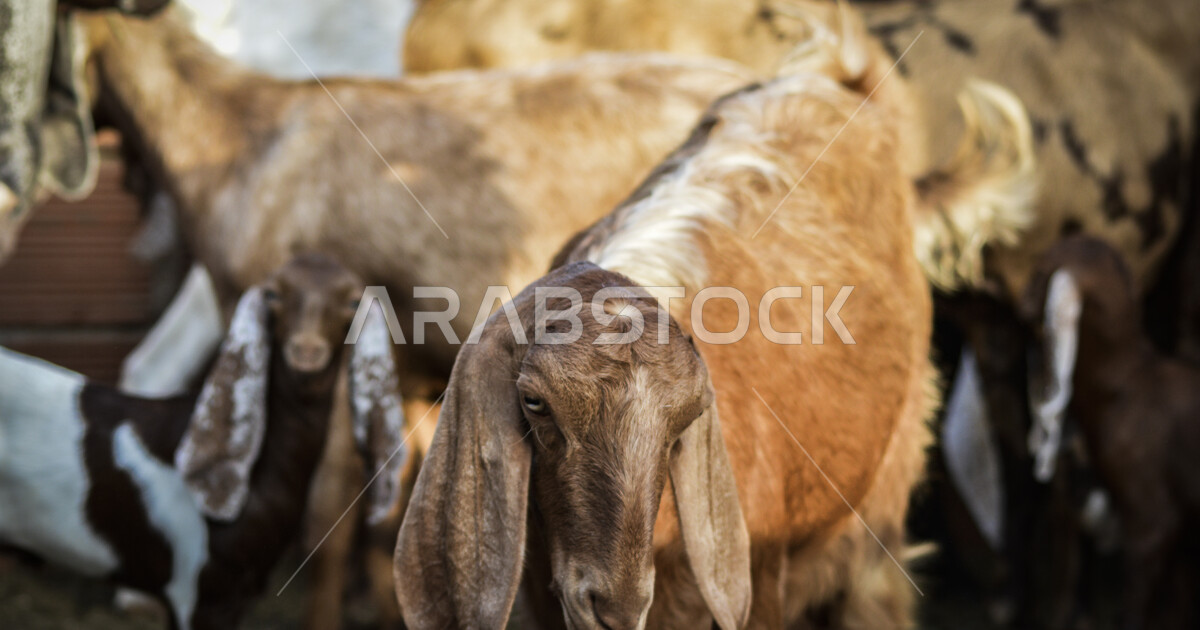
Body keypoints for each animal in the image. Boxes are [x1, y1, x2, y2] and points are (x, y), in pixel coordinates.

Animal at [1023, 235, 1200, 630]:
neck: (1134, 383)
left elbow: (1134, 611)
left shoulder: (1150, 522)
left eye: (1040, 271)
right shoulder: (1181, 537)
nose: (1022, 298)